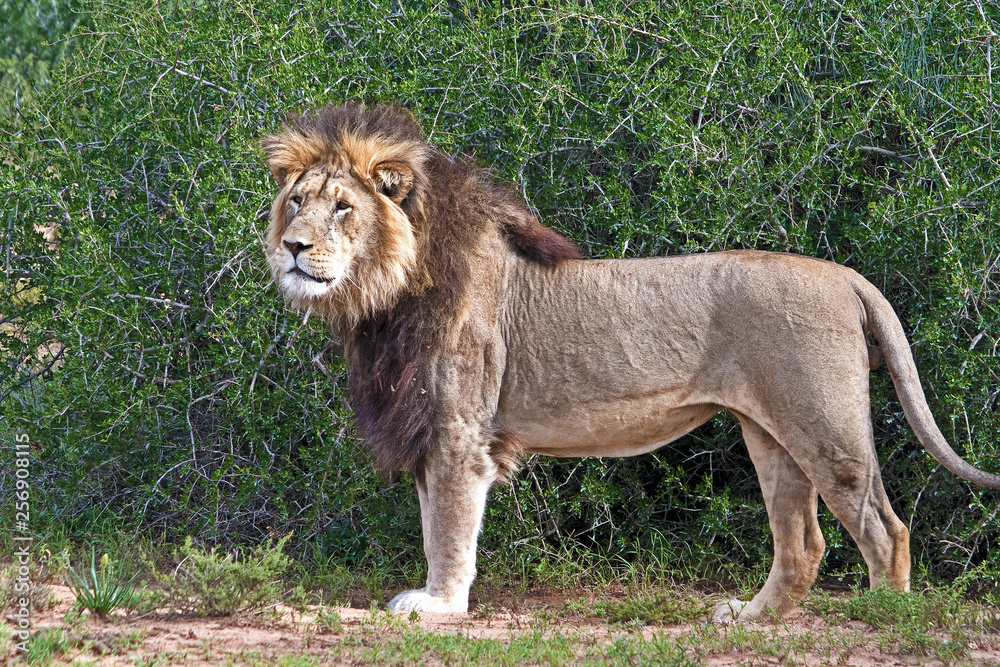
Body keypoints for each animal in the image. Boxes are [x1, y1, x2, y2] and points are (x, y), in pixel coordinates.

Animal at [262, 103, 1000, 622]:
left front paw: (439, 605)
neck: (386, 291)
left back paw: (885, 614)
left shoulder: (458, 431)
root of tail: (847, 276)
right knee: (803, 543)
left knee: (885, 527)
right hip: (770, 432)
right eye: (296, 201)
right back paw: (750, 617)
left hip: (824, 423)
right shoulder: (428, 425)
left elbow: (446, 525)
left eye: (343, 208)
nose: (293, 247)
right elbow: (431, 520)